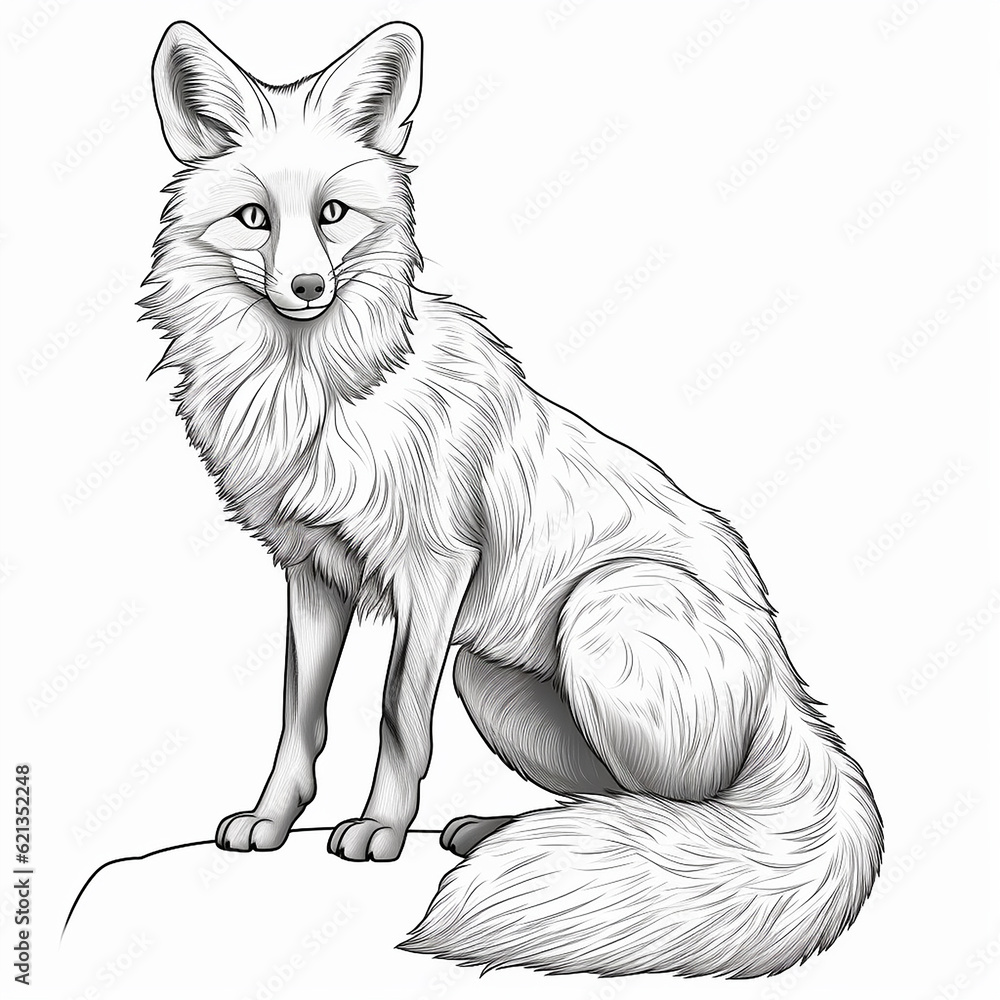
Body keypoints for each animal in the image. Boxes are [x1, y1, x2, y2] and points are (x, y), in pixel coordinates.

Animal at [143, 20, 883, 978]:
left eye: (333, 214)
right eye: (255, 217)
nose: (307, 289)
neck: (324, 392)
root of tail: (793, 689)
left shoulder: (432, 568)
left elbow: (395, 715)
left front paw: (380, 831)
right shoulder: (312, 573)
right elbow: (298, 718)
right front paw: (272, 820)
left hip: (605, 609)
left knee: (684, 813)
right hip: (490, 680)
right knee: (612, 800)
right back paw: (500, 832)